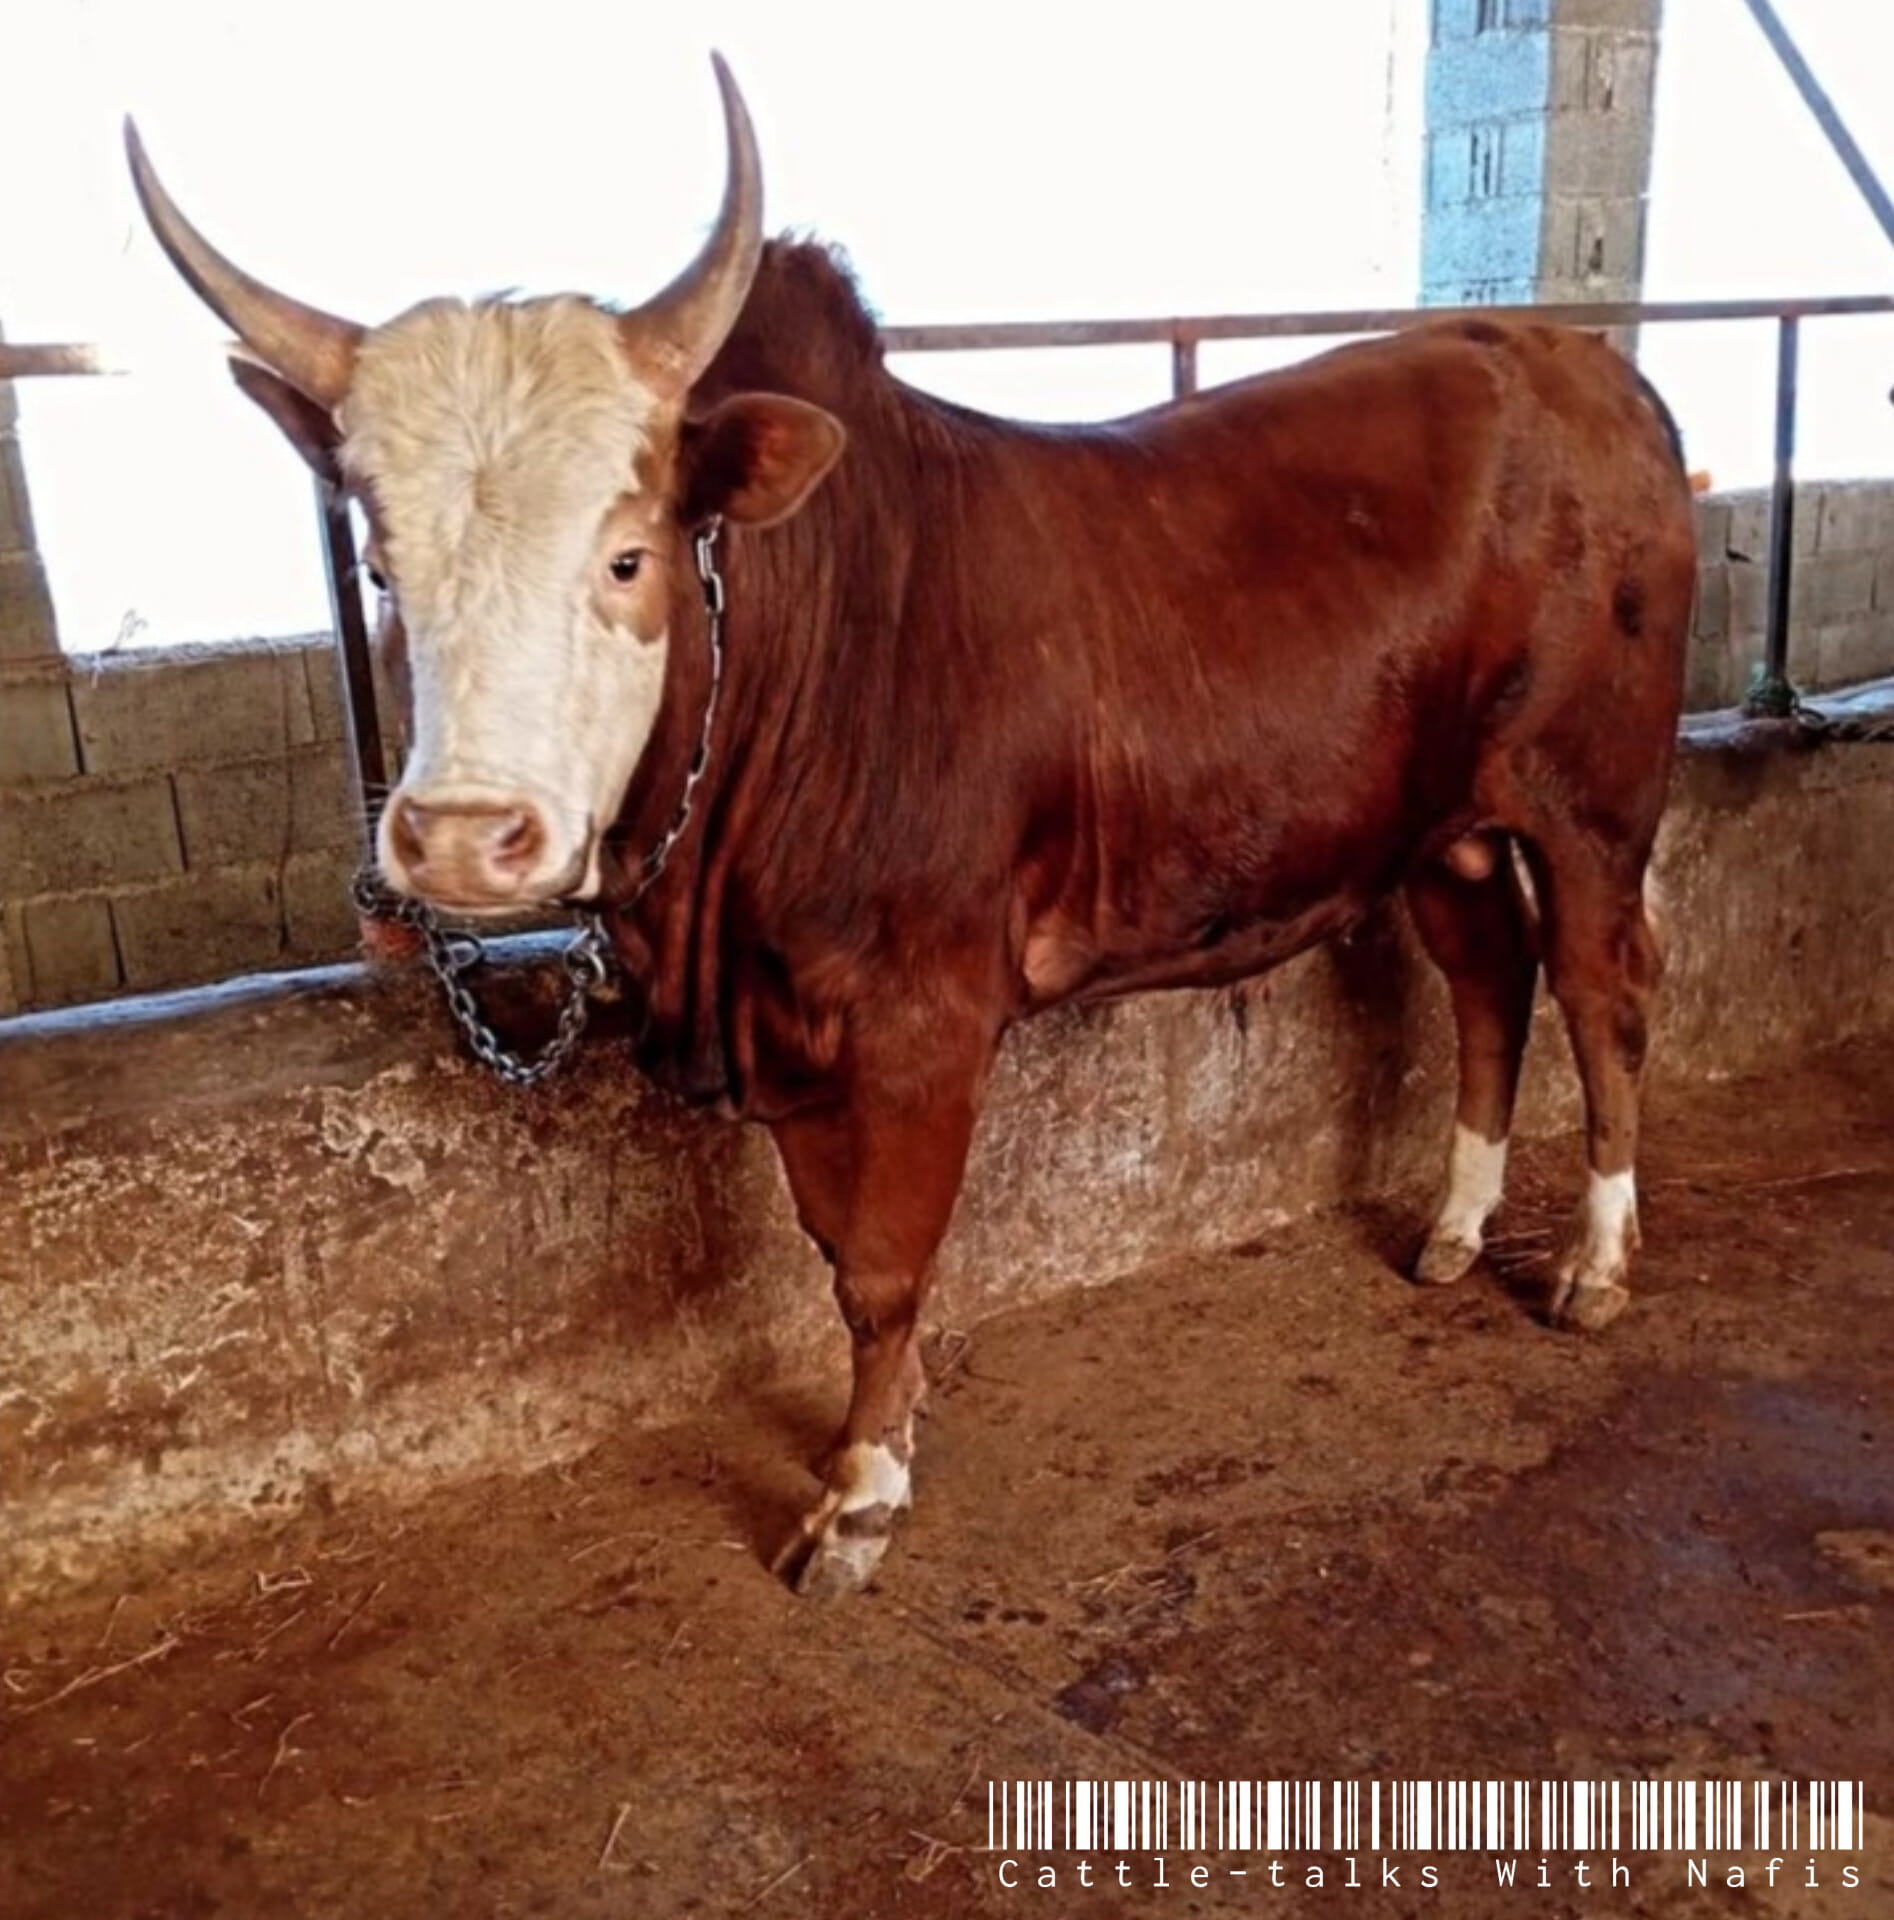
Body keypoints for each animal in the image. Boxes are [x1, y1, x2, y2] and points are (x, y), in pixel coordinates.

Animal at [127, 57, 1697, 1595]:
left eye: (626, 556)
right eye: (380, 566)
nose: (462, 839)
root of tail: (1582, 367)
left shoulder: (918, 1020)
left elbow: (883, 1265)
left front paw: (861, 1495)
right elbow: (837, 1249)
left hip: (1591, 798)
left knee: (1602, 990)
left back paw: (1596, 1270)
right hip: (1441, 821)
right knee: (1487, 976)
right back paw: (1452, 1232)